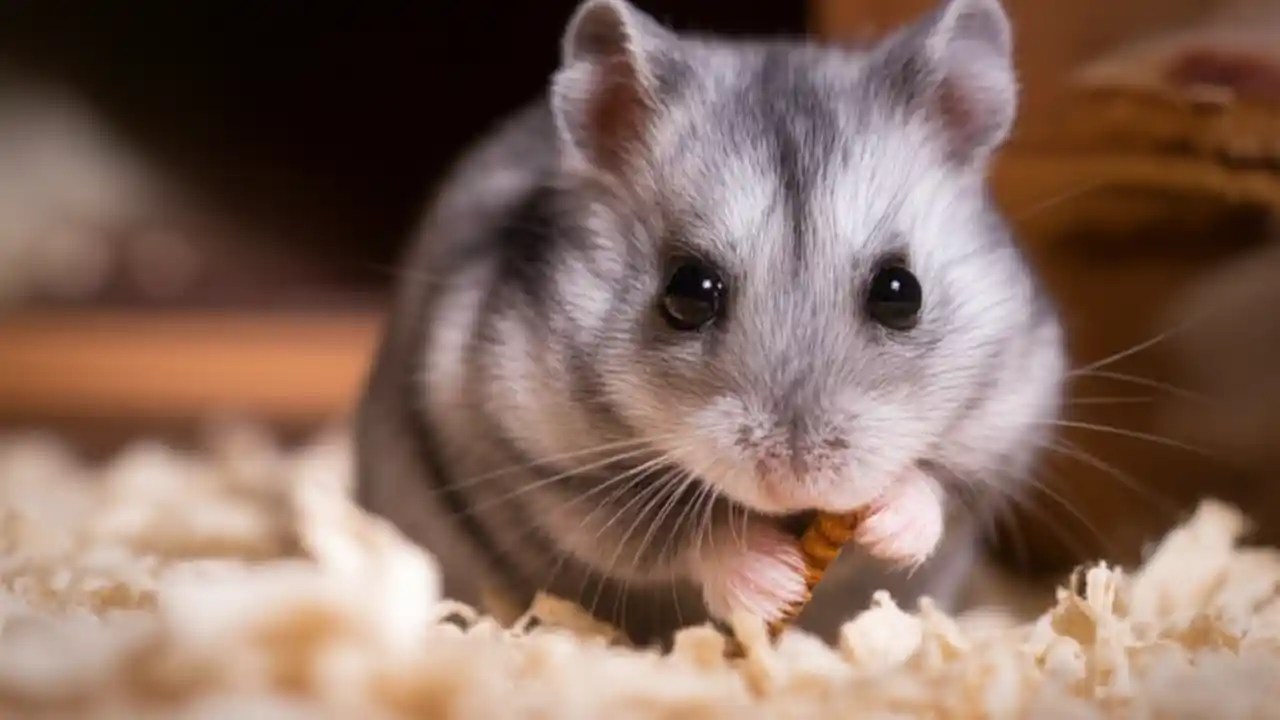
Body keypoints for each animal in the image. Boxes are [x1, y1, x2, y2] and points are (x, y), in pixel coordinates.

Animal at [355, 0, 1065, 646]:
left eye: (900, 292)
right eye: (688, 293)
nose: (793, 479)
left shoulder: (1010, 421)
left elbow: (942, 486)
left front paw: (890, 523)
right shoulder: (547, 469)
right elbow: (675, 531)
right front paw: (774, 579)